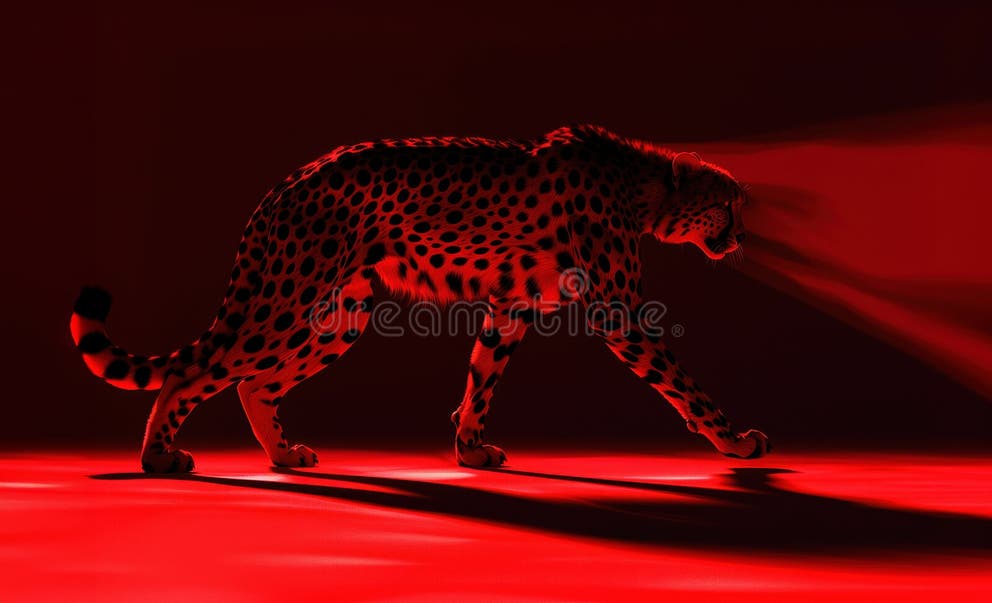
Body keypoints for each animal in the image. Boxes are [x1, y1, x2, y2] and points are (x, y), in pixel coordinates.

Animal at [70, 124, 769, 472]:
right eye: (727, 204)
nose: (742, 238)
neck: (643, 185)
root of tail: (287, 180)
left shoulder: (511, 306)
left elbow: (481, 378)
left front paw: (469, 449)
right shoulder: (618, 312)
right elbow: (685, 386)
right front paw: (735, 442)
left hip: (341, 315)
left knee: (254, 381)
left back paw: (283, 455)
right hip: (289, 300)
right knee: (194, 373)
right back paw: (158, 457)